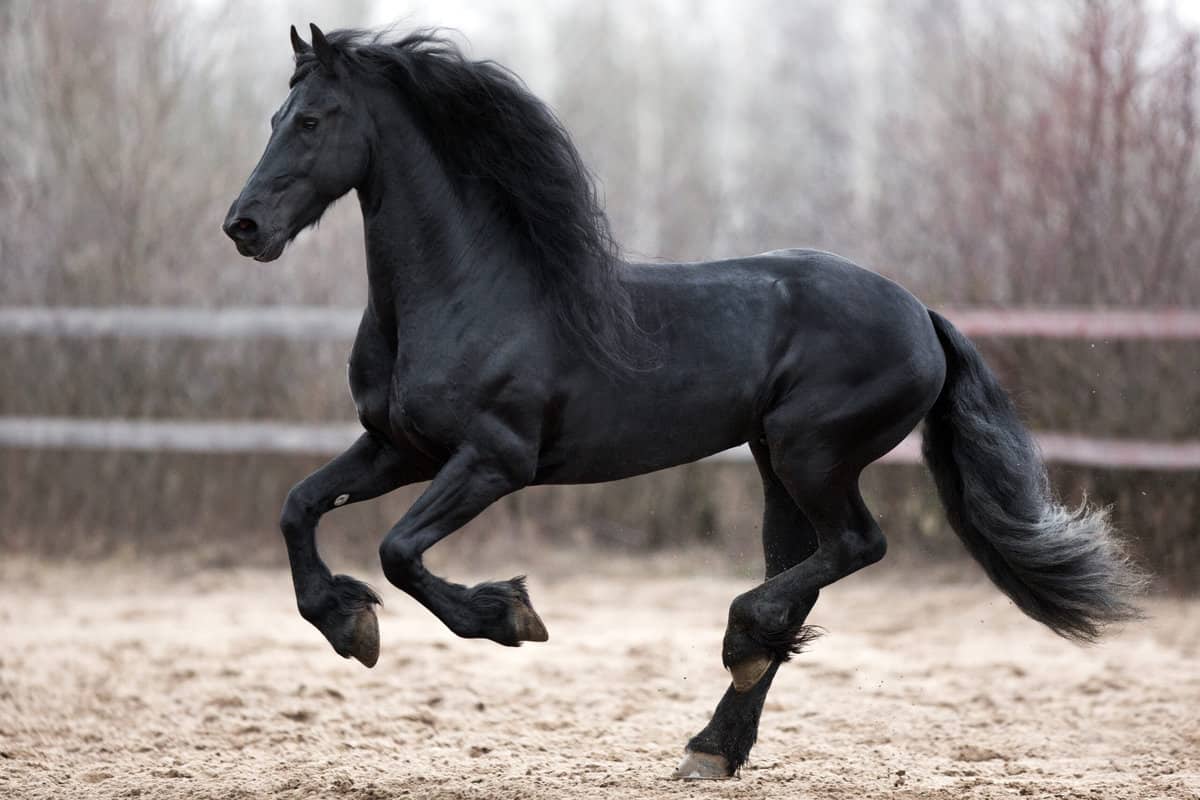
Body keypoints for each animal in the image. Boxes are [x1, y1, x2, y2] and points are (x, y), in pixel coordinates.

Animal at [223, 24, 1144, 779]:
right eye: (272, 117)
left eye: (313, 121)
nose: (244, 227)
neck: (465, 292)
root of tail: (921, 314)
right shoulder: (396, 448)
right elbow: (297, 508)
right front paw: (346, 624)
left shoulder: (493, 459)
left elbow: (399, 552)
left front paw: (508, 615)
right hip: (777, 463)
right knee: (803, 575)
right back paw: (714, 745)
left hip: (813, 453)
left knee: (854, 547)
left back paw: (736, 653)